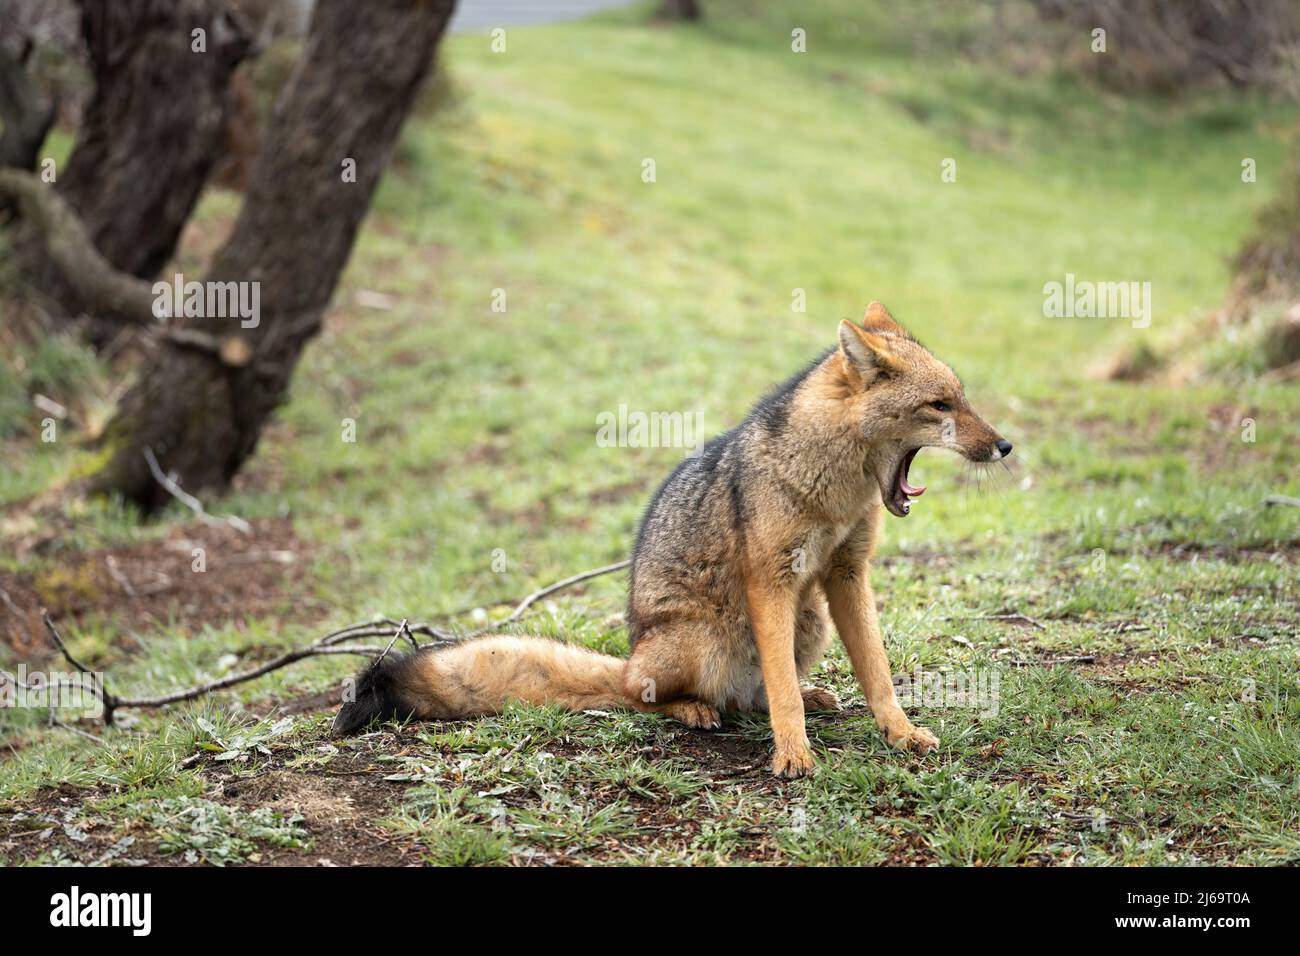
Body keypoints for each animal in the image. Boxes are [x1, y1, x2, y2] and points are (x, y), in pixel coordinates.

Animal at [334, 302, 1011, 777]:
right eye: (939, 404)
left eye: (962, 398)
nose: (1004, 446)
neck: (831, 484)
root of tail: (632, 652)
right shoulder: (771, 581)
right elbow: (786, 697)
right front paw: (793, 755)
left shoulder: (845, 574)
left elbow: (875, 672)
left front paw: (899, 732)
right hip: (706, 640)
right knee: (641, 696)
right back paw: (691, 708)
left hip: (809, 621)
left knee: (755, 697)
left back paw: (789, 697)